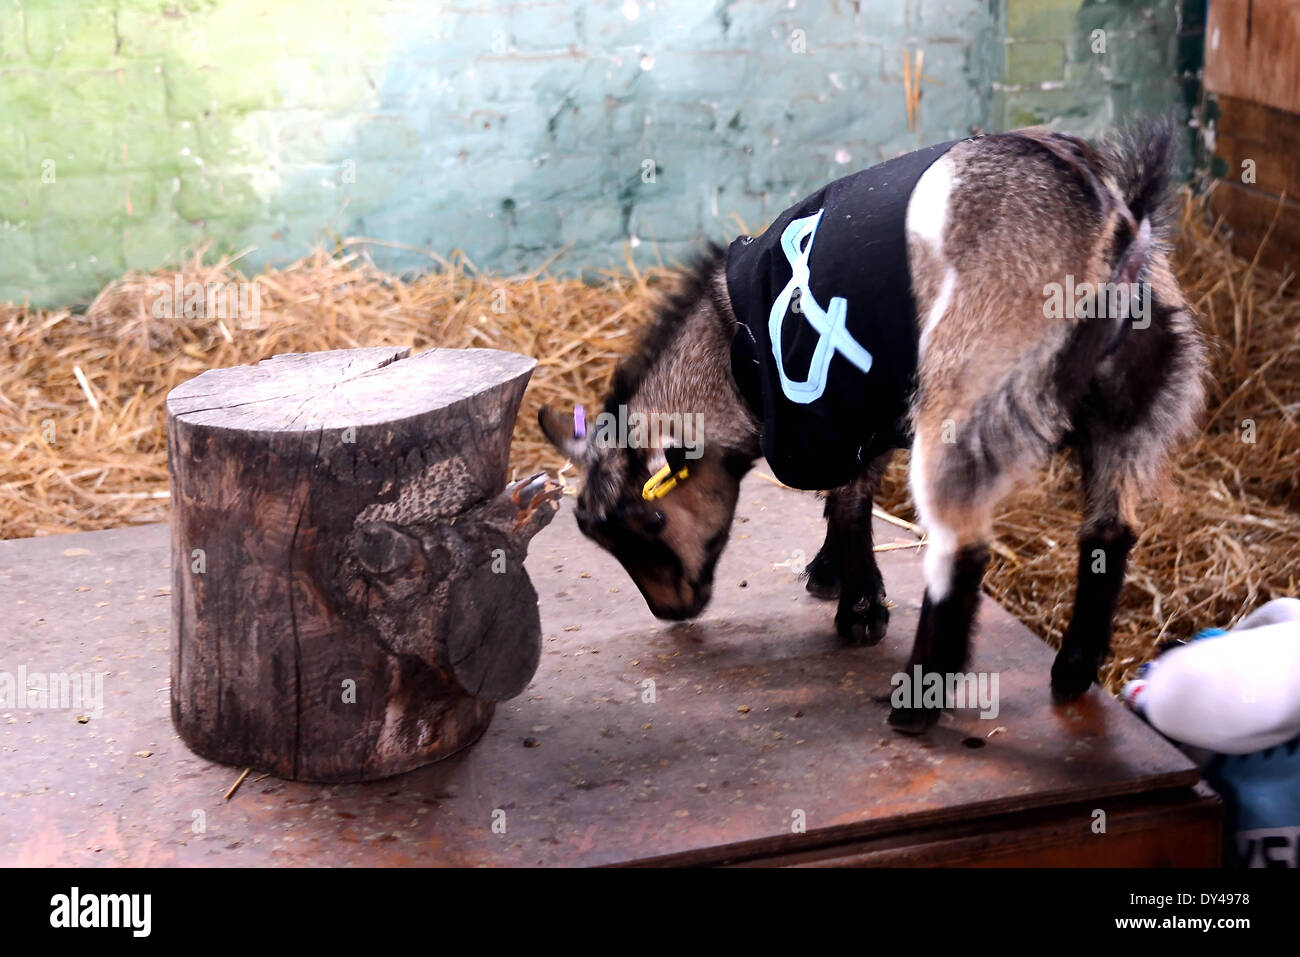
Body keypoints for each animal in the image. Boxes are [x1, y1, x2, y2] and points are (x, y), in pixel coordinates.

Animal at [540, 121, 1206, 733]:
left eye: (650, 521)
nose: (672, 610)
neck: (728, 346)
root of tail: (1114, 220)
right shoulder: (875, 398)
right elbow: (854, 486)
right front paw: (833, 575)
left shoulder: (828, 406)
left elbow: (851, 495)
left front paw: (859, 605)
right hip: (1136, 403)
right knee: (1110, 530)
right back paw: (1072, 670)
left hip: (970, 391)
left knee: (962, 545)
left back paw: (918, 703)